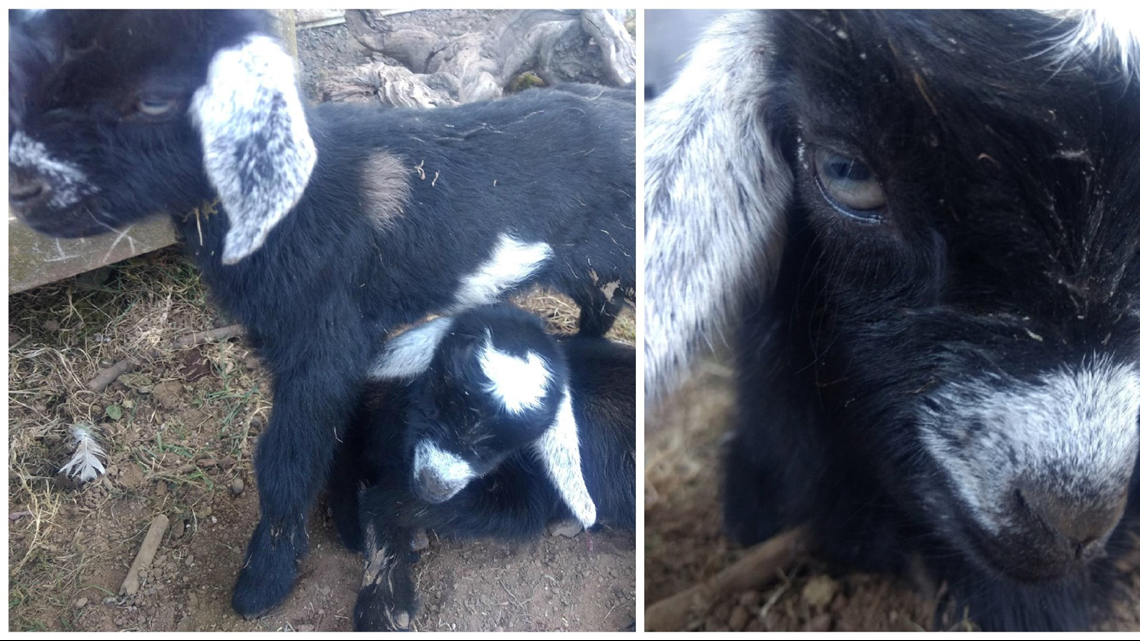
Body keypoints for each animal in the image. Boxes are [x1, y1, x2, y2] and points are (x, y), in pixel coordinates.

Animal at [325, 304, 635, 631]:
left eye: (506, 447)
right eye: (435, 395)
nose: (430, 486)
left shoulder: (523, 498)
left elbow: (390, 504)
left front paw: (383, 605)